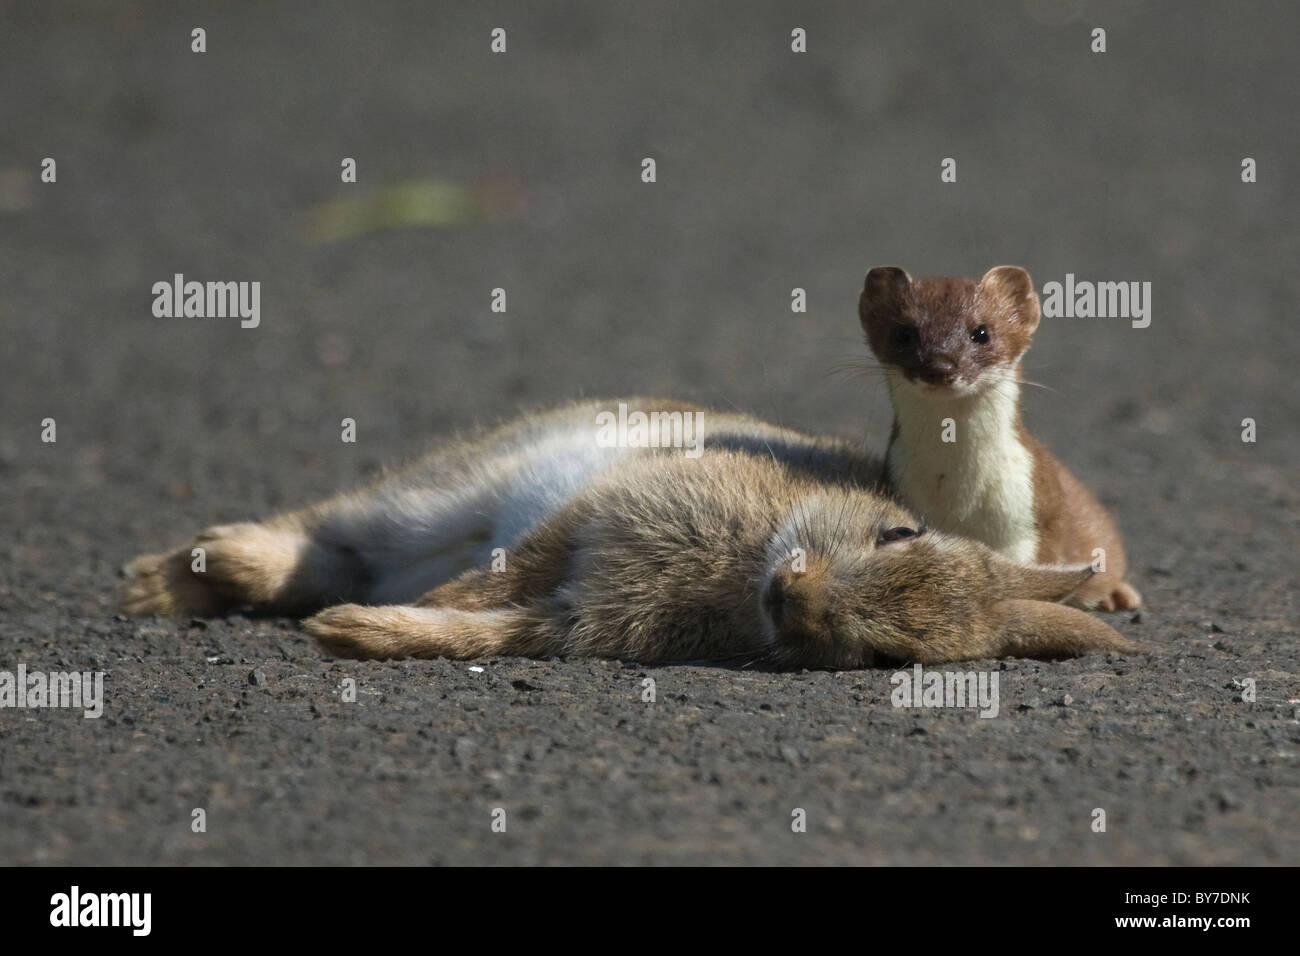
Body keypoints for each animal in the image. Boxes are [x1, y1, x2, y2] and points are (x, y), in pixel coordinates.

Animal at [121, 399, 1139, 667]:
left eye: (891, 659)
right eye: (897, 532)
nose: (793, 600)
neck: (747, 564)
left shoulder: (577, 614)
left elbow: (492, 626)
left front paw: (356, 636)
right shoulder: (604, 511)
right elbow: (498, 581)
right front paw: (352, 631)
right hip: (445, 493)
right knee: (321, 530)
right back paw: (165, 579)